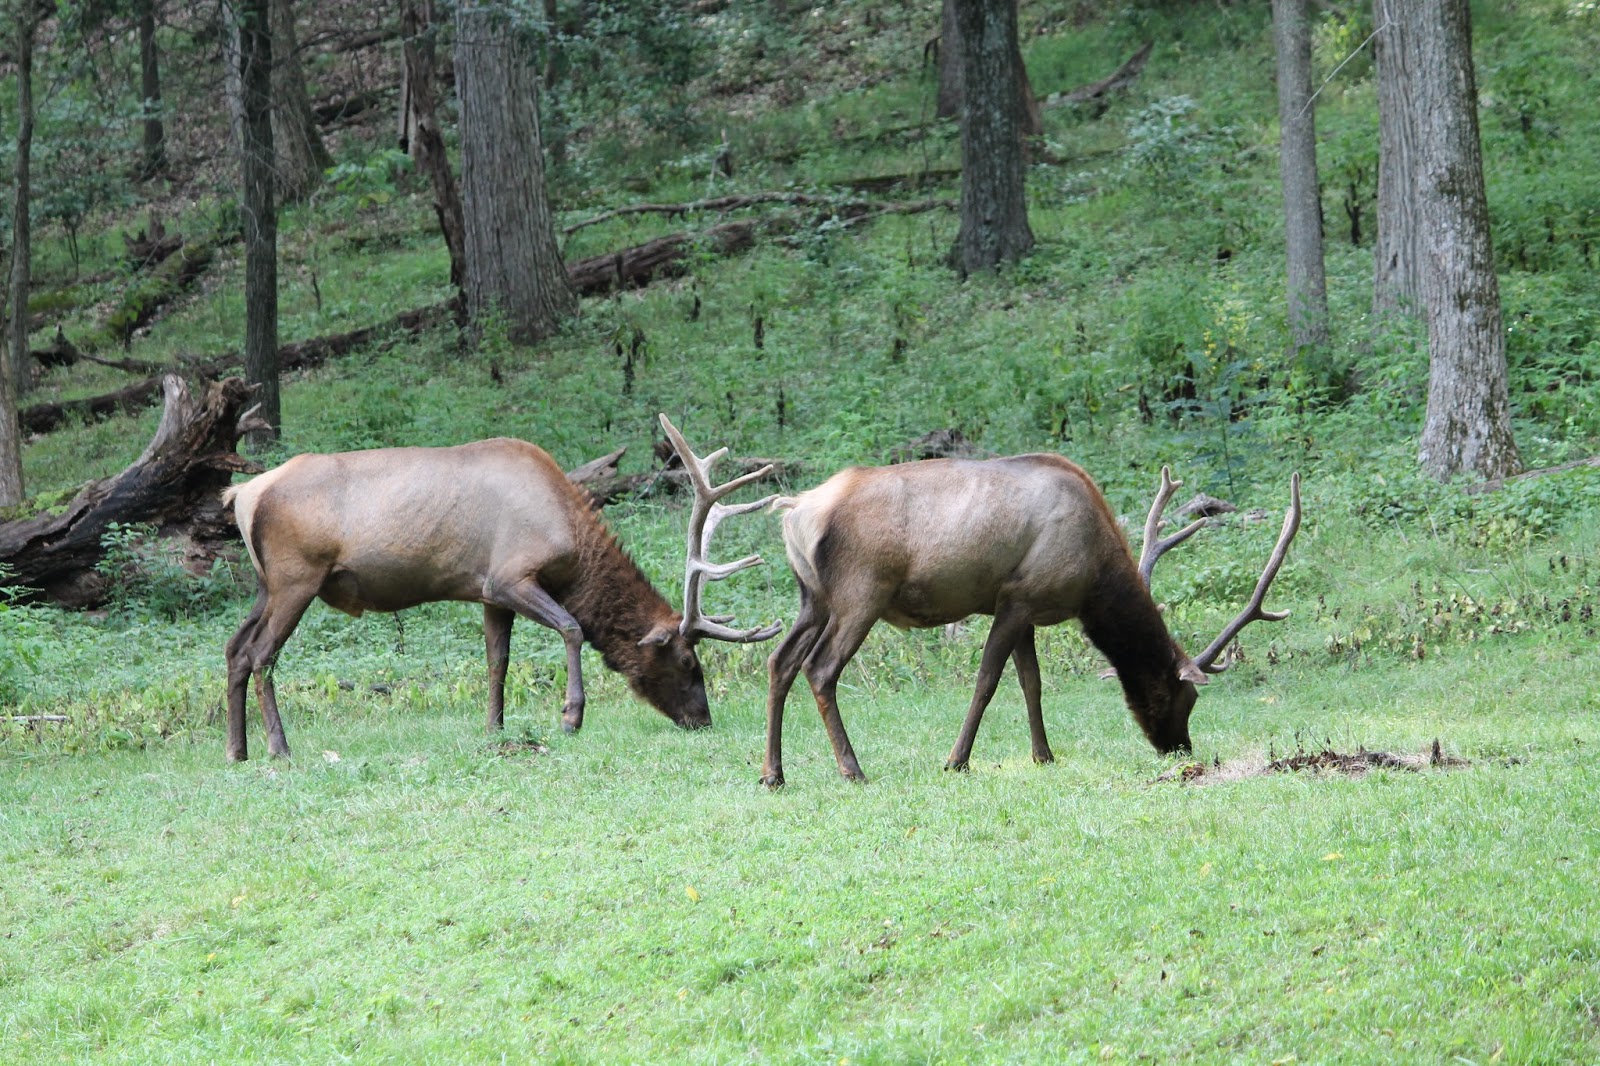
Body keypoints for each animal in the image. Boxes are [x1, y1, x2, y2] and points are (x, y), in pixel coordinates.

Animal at [220, 414, 780, 761]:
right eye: (687, 663)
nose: (703, 720)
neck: (571, 546)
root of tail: (242, 493)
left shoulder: (489, 594)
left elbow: (498, 660)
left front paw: (495, 727)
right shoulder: (510, 576)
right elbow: (573, 628)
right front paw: (571, 716)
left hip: (265, 584)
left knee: (234, 648)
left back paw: (237, 749)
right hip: (297, 576)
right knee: (262, 654)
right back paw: (278, 747)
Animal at [760, 456, 1301, 786]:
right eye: (1183, 698)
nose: (1180, 750)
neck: (1093, 580)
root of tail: (794, 511)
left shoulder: (1025, 611)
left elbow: (1031, 682)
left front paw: (1044, 755)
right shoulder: (1017, 597)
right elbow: (987, 680)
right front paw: (957, 760)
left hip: (813, 597)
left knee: (780, 660)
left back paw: (773, 773)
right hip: (861, 591)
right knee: (820, 668)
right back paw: (852, 769)